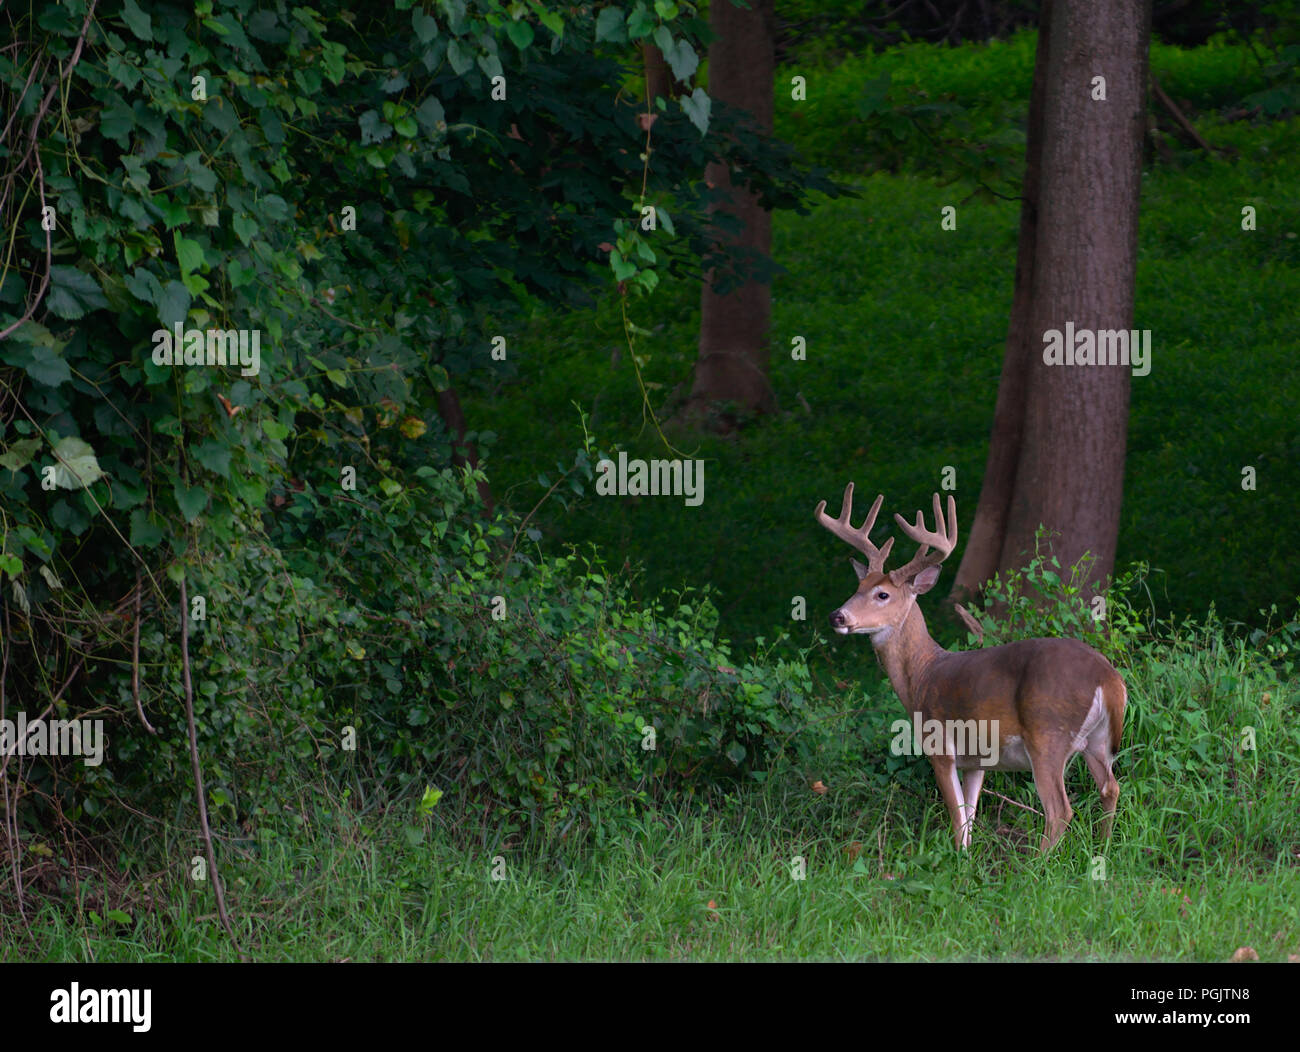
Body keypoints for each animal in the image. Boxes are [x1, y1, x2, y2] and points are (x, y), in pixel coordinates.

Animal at [814, 483, 1126, 852]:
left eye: (882, 595)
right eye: (858, 587)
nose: (837, 616)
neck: (921, 676)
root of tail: (1108, 679)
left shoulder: (939, 746)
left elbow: (957, 819)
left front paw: (958, 859)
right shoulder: (976, 760)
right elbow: (970, 817)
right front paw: (968, 857)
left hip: (1047, 733)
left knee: (1060, 810)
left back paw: (1038, 861)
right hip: (1097, 740)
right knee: (1110, 788)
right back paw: (1103, 850)